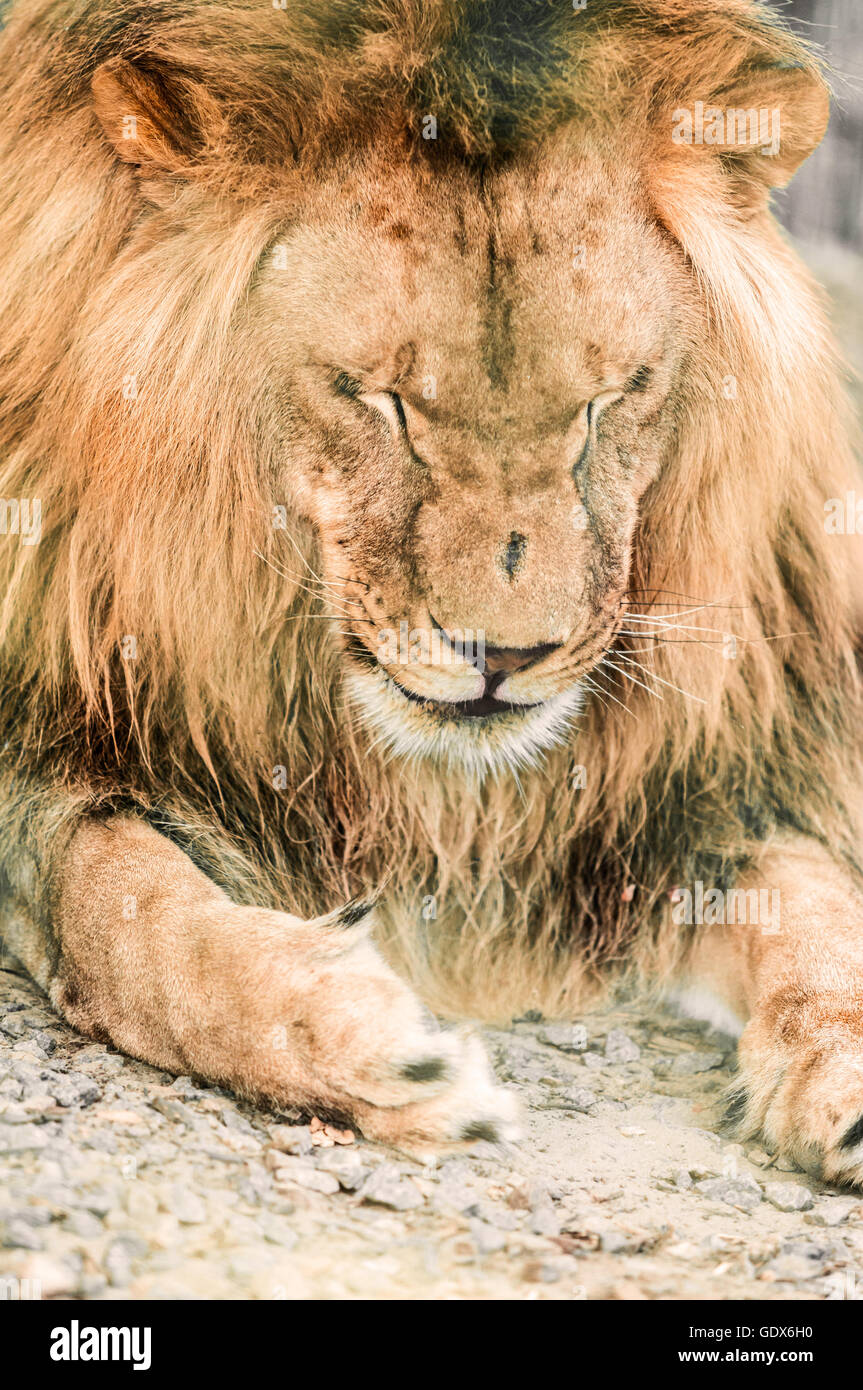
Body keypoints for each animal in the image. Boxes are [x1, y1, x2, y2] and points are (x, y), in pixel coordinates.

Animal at [0, 0, 862, 1178]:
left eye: (608, 401)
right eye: (382, 401)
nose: (508, 659)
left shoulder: (666, 805)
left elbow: (809, 899)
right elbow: (128, 916)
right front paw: (362, 1043)